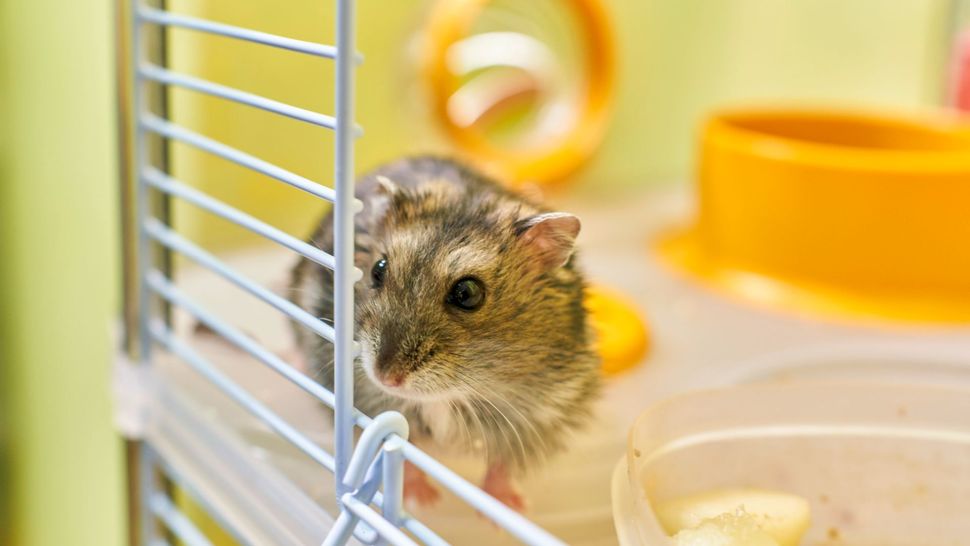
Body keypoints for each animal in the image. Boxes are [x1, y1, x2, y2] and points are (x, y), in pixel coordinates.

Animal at [288, 156, 600, 509]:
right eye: (378, 269)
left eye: (468, 293)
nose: (385, 377)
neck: (449, 396)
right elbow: (396, 444)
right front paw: (422, 501)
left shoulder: (540, 414)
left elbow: (503, 463)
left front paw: (508, 508)